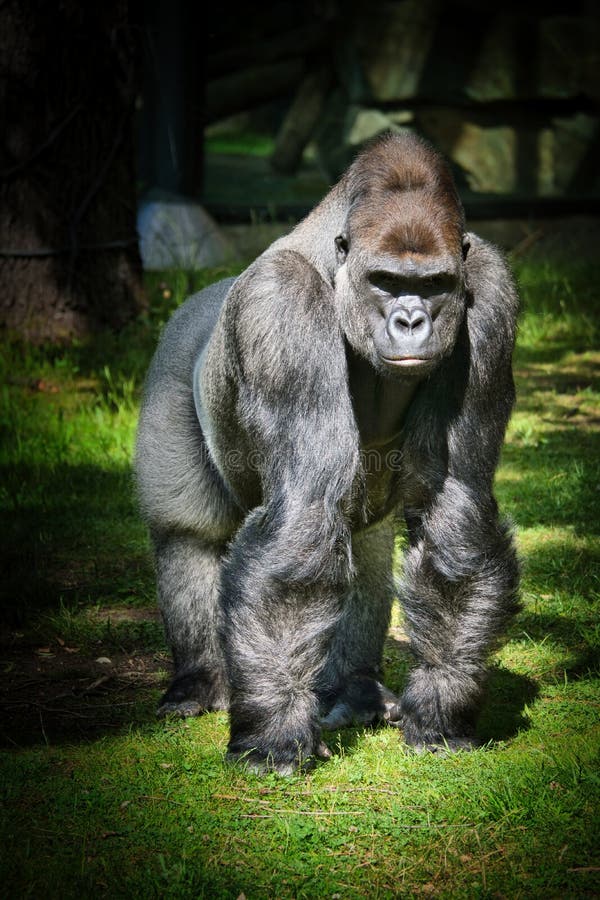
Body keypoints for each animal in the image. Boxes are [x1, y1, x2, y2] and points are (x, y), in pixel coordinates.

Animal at [135, 132, 520, 773]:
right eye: (386, 281)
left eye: (436, 284)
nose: (410, 320)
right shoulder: (281, 304)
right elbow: (302, 519)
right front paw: (273, 734)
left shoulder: (490, 293)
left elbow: (455, 509)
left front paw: (441, 706)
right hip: (169, 366)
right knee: (188, 534)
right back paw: (197, 681)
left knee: (364, 555)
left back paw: (354, 691)